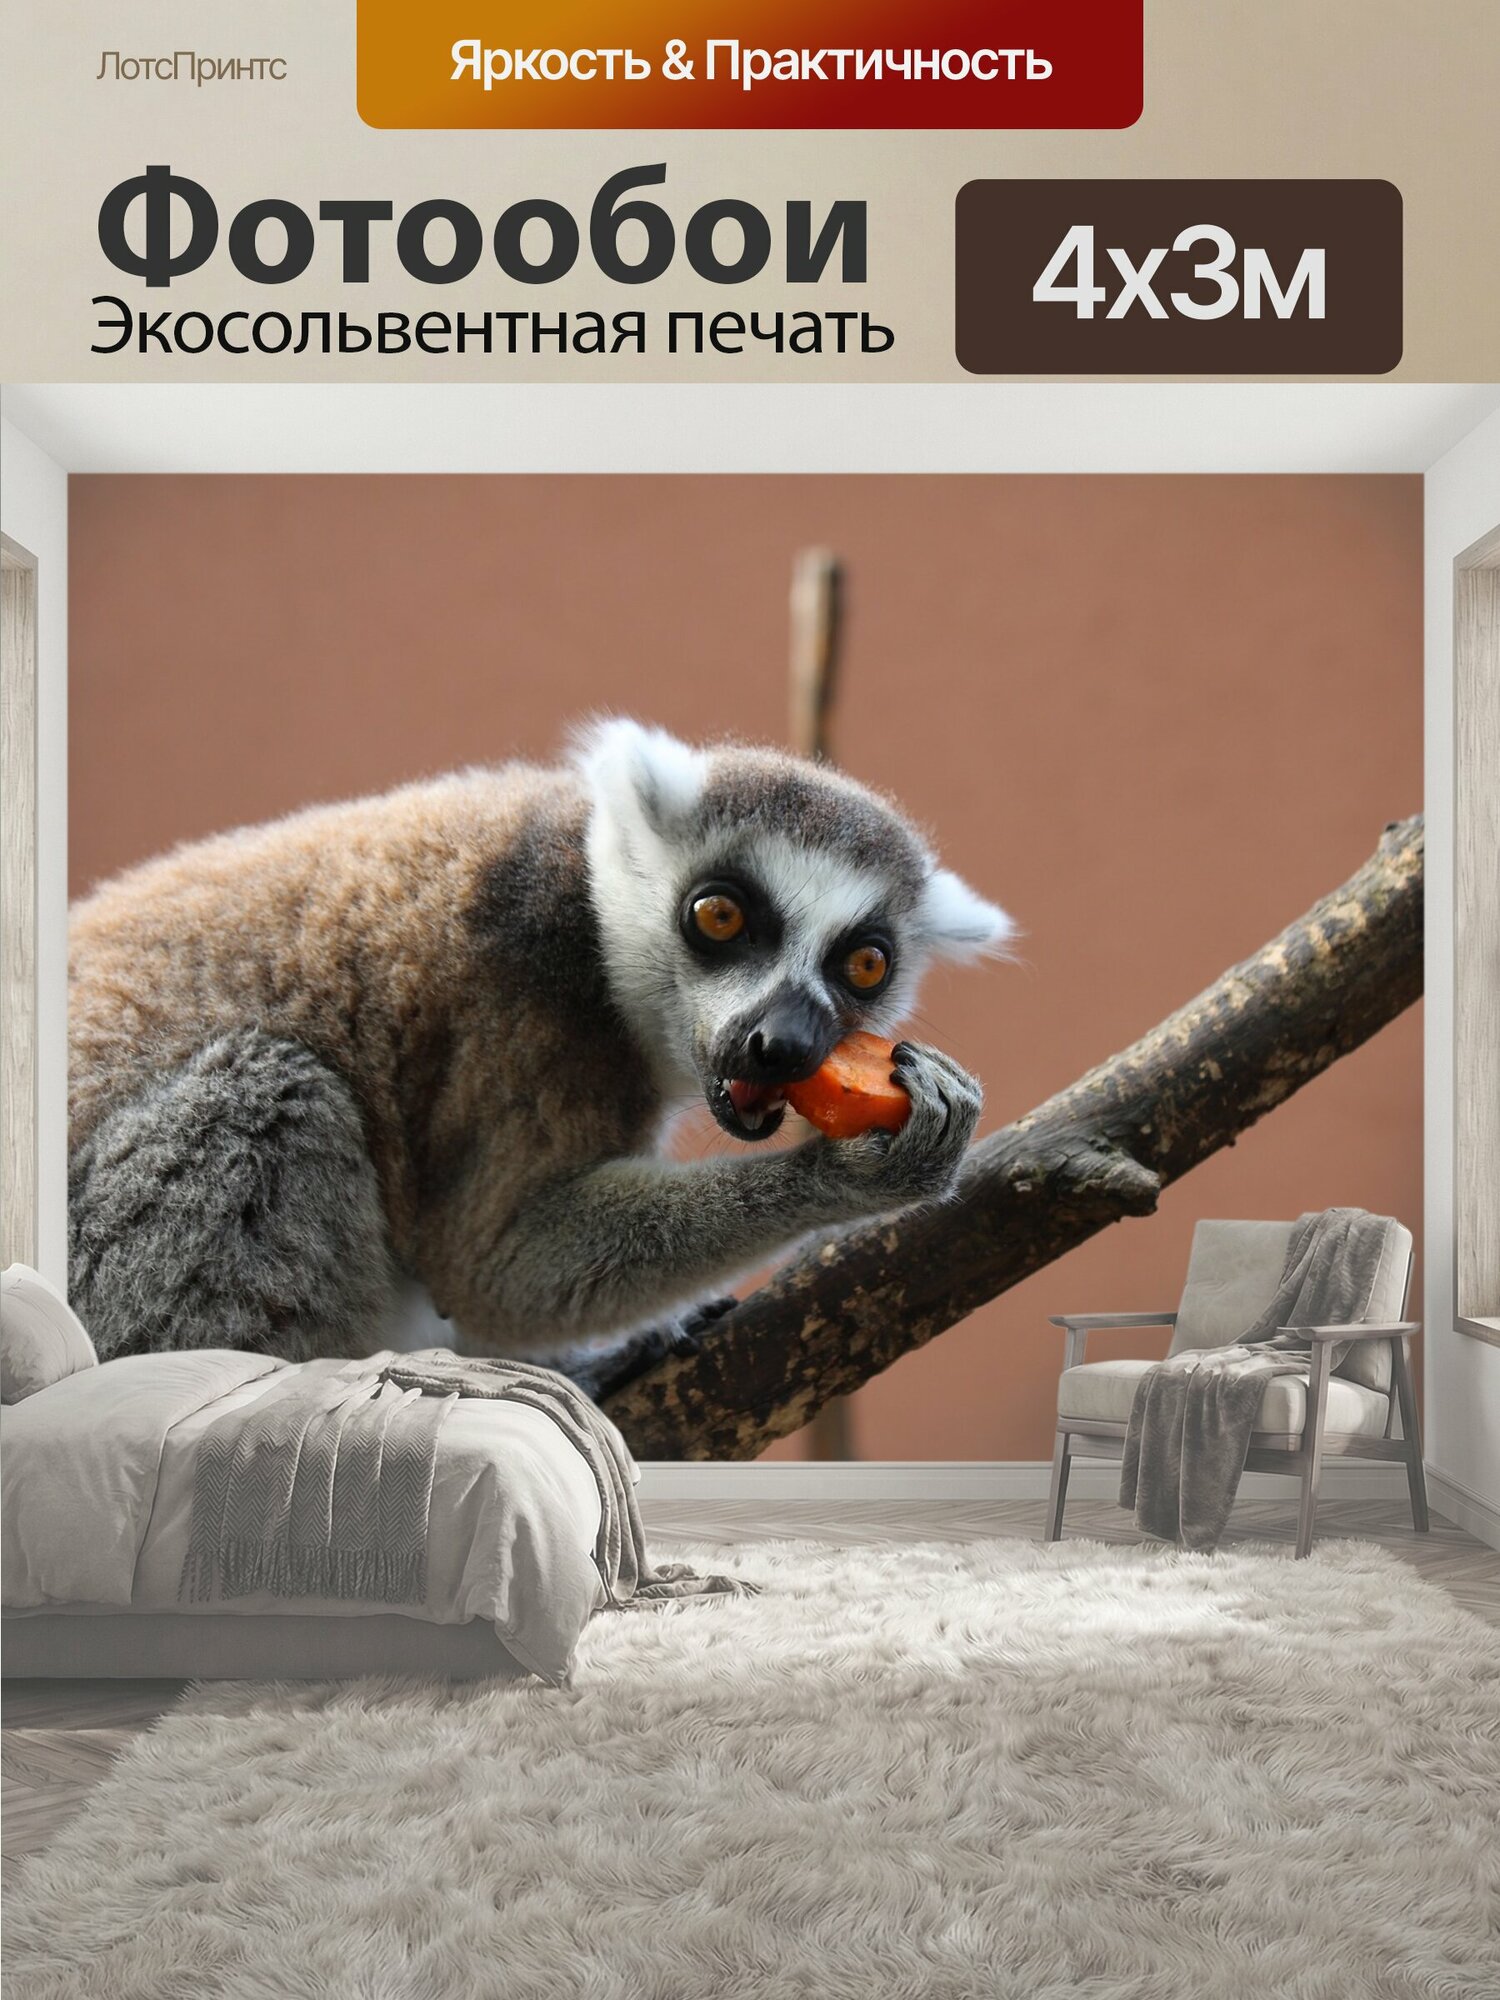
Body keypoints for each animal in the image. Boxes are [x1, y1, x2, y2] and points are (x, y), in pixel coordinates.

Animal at [66, 721, 1013, 1396]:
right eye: (719, 917)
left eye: (865, 966)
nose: (781, 1043)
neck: (591, 919)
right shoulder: (522, 1020)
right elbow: (492, 1266)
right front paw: (853, 1175)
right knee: (269, 1097)